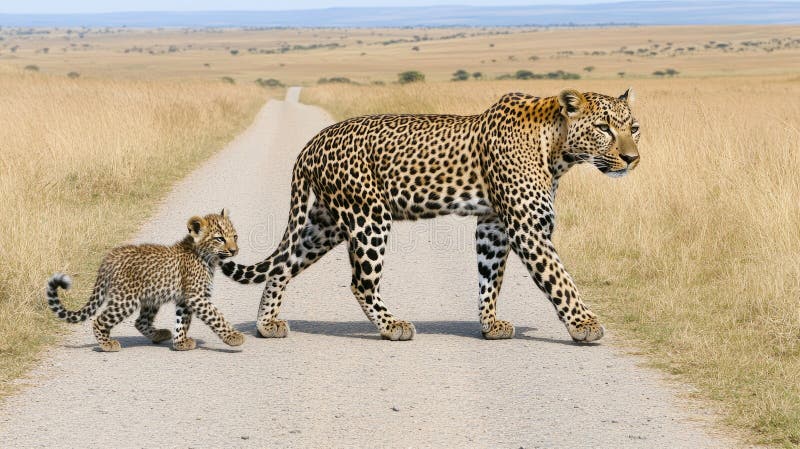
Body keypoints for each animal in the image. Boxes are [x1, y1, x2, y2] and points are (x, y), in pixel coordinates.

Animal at [46, 209, 246, 352]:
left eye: (235, 236)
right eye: (219, 238)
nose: (234, 250)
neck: (206, 257)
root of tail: (109, 258)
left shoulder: (185, 298)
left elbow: (182, 320)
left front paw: (180, 342)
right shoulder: (196, 296)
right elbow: (216, 316)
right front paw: (234, 338)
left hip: (151, 297)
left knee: (140, 321)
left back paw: (159, 334)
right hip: (126, 300)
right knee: (99, 320)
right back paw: (107, 344)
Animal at [221, 88, 640, 342]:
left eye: (633, 127)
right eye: (604, 128)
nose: (633, 158)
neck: (557, 149)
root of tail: (311, 143)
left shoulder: (493, 224)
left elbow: (490, 275)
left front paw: (490, 324)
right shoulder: (527, 227)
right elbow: (560, 278)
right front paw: (585, 324)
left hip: (327, 222)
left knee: (282, 265)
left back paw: (266, 324)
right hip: (369, 216)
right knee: (360, 282)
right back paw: (393, 326)